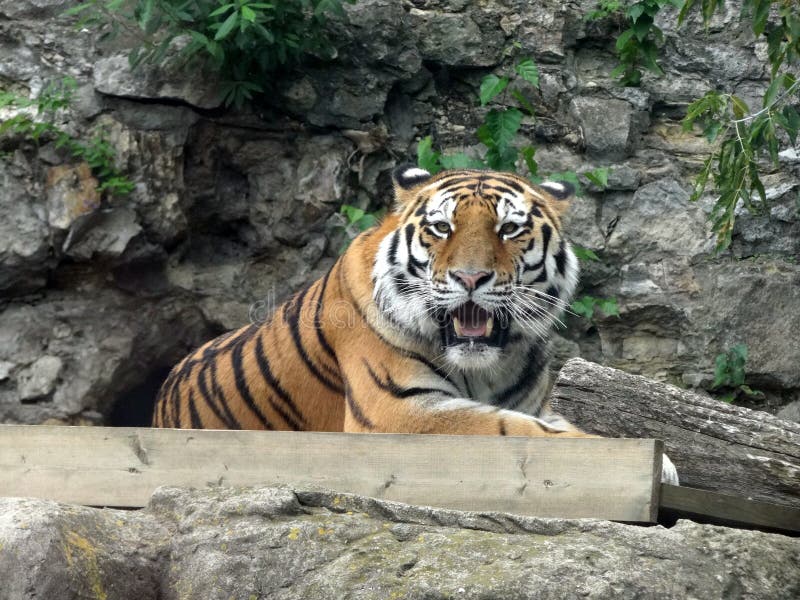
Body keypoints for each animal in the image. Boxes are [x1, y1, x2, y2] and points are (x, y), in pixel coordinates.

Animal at [152, 165, 679, 484]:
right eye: (442, 227)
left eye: (509, 229)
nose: (470, 277)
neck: (487, 367)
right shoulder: (399, 412)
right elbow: (514, 429)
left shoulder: (533, 404)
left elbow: (548, 422)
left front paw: (668, 464)